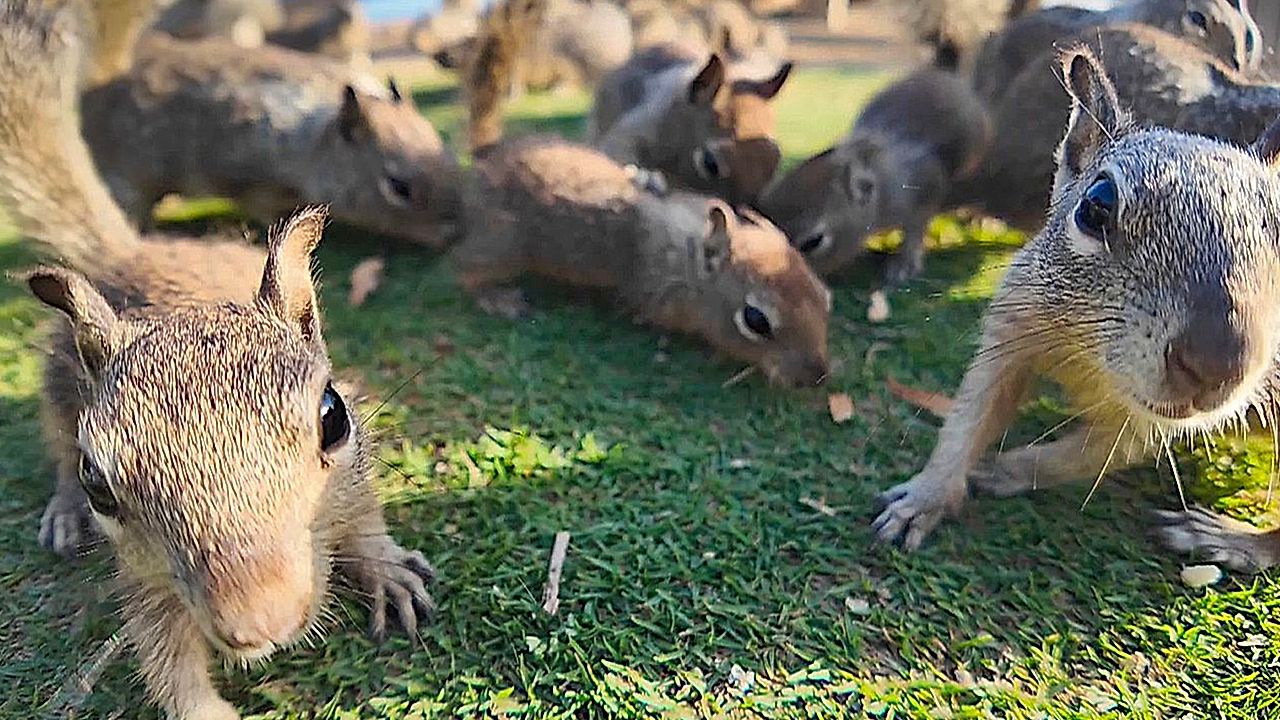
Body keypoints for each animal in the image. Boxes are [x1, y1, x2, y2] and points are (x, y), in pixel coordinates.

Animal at [870, 46, 1280, 574]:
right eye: (1096, 206)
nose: (1218, 364)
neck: (1090, 353)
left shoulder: (1145, 423)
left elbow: (1086, 454)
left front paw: (1007, 468)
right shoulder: (1012, 328)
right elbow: (970, 418)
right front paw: (925, 496)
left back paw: (1229, 540)